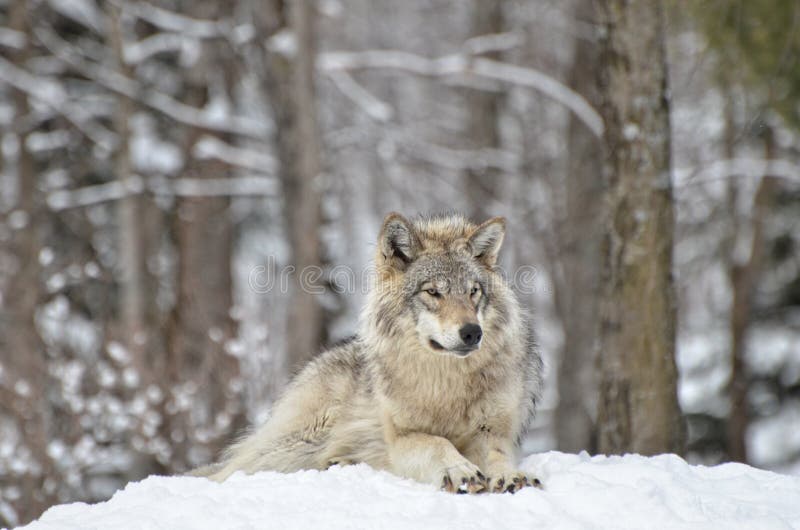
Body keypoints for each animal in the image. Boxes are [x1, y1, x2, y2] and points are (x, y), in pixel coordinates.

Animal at [195, 212, 543, 493]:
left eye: (473, 291)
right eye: (433, 292)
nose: (472, 332)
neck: (446, 384)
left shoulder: (492, 431)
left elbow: (496, 454)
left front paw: (510, 475)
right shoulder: (402, 437)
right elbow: (436, 443)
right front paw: (459, 470)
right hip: (298, 444)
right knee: (230, 470)